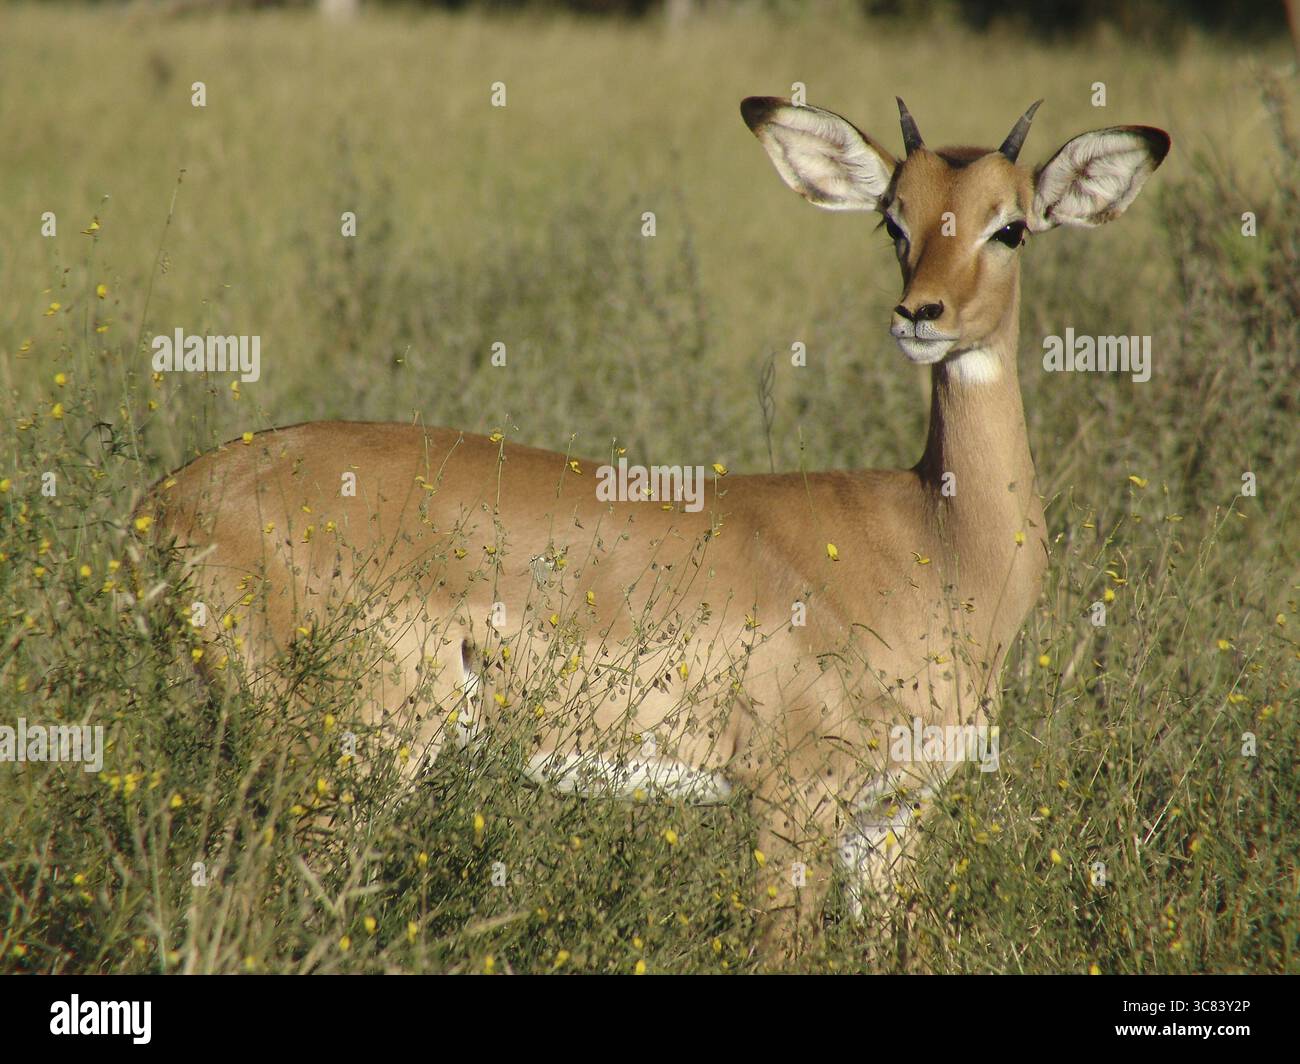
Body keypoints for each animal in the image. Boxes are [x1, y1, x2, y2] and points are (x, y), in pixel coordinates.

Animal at [145, 95, 1169, 966]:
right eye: (895, 218)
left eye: (1011, 224)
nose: (922, 314)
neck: (940, 543)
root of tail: (166, 500)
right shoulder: (788, 807)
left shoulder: (891, 821)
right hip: (346, 757)